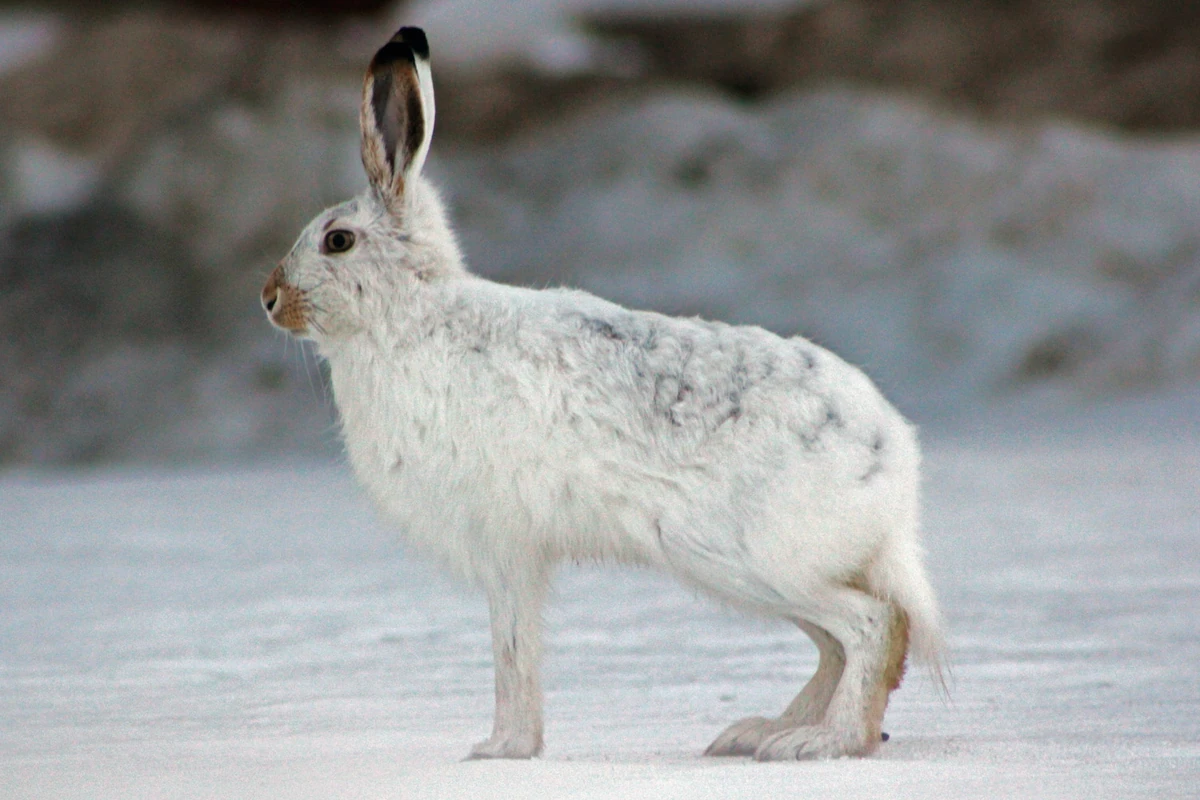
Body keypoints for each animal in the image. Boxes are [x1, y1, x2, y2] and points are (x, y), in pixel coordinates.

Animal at [261, 26, 945, 762]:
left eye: (337, 241)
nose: (269, 299)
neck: (409, 316)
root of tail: (893, 466)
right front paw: (508, 749)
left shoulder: (505, 545)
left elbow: (512, 651)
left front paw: (499, 751)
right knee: (844, 645)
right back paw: (763, 732)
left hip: (753, 558)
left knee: (873, 626)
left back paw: (820, 743)